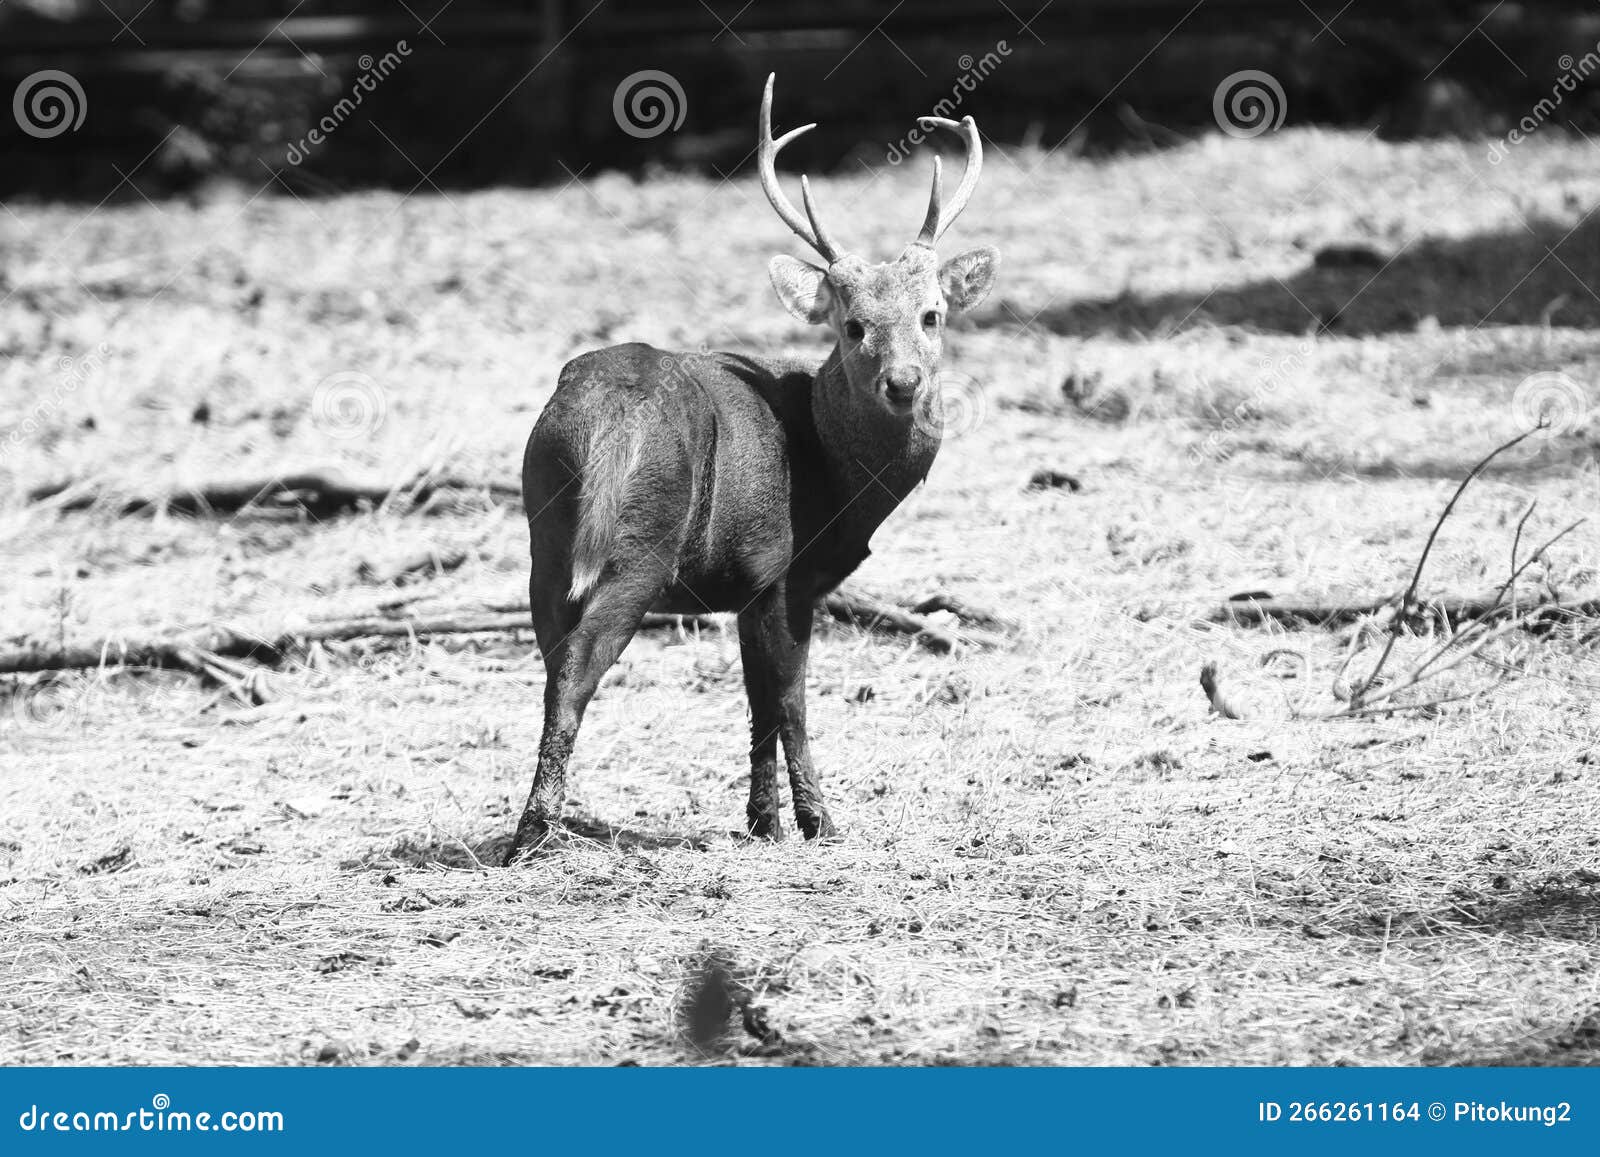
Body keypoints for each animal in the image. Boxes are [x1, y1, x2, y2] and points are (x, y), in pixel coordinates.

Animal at [504, 74, 998, 863]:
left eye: (932, 315)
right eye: (852, 324)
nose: (902, 382)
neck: (838, 481)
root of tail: (608, 410)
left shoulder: (744, 585)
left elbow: (755, 702)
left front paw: (762, 820)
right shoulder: (785, 570)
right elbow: (789, 701)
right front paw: (818, 821)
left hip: (544, 532)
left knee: (550, 661)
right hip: (640, 543)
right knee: (577, 667)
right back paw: (534, 832)